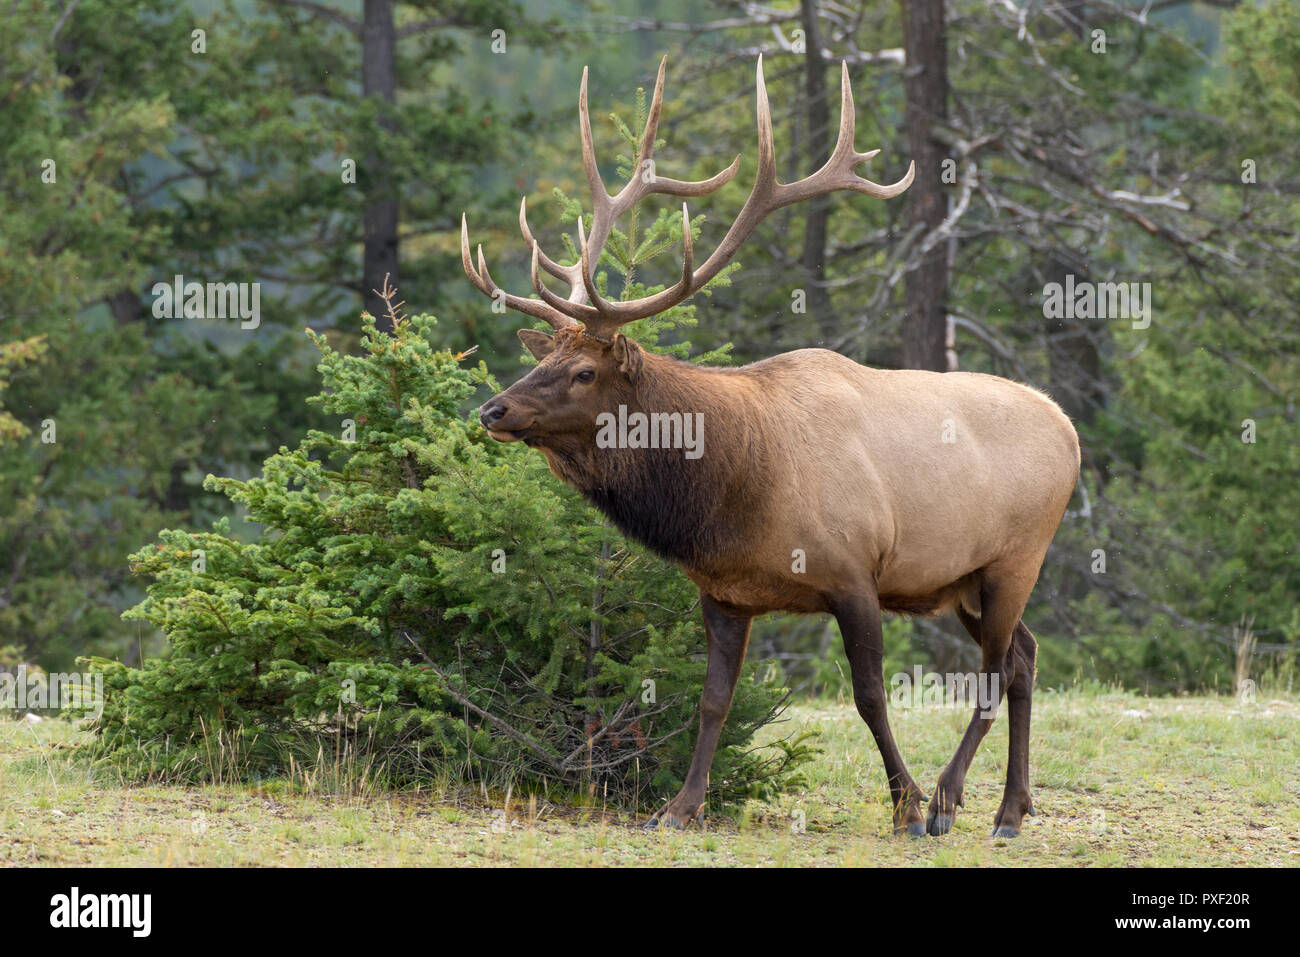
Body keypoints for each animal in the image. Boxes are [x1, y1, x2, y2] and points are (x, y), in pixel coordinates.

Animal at [460, 56, 1080, 838]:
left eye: (583, 372)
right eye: (544, 358)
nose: (493, 408)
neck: (736, 494)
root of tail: (1069, 427)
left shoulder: (855, 572)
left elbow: (869, 696)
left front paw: (906, 804)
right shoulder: (723, 593)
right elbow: (712, 700)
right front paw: (679, 806)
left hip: (1017, 556)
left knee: (998, 670)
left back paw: (948, 799)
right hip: (964, 577)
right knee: (1025, 657)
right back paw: (1012, 809)